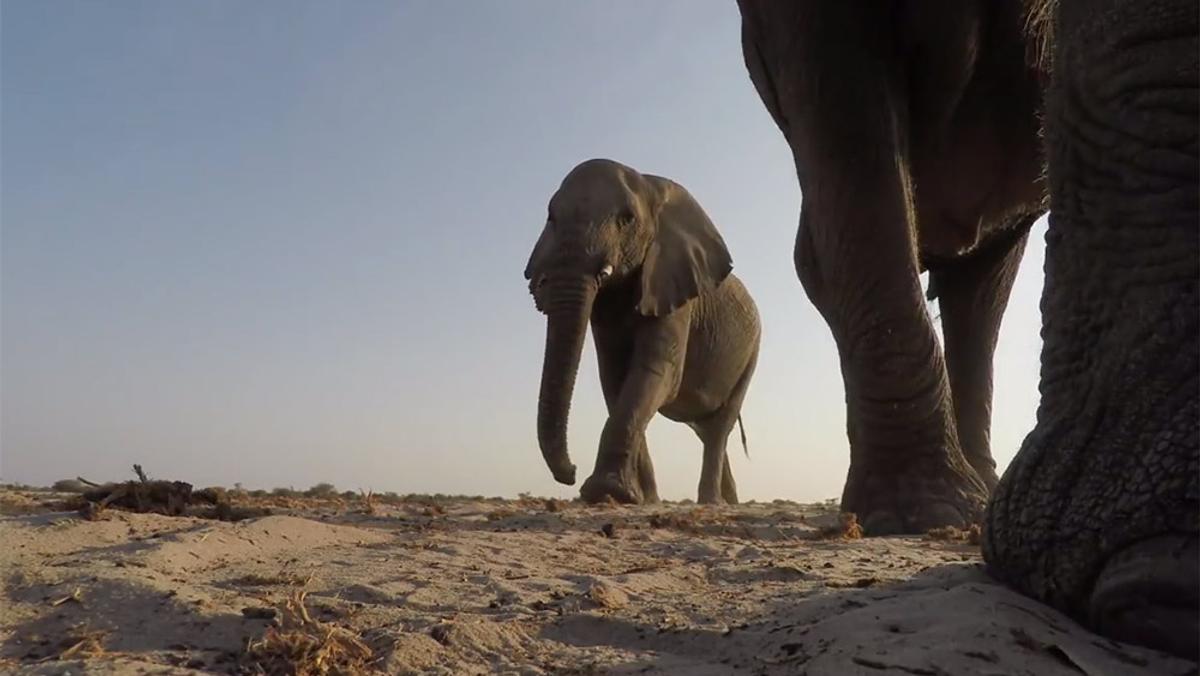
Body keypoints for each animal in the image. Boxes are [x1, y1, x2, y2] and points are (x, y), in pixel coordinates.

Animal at [525, 158, 761, 505]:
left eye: (627, 219)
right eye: (551, 217)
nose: (571, 472)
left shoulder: (675, 288)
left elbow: (656, 372)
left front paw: (607, 492)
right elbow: (615, 380)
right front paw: (640, 500)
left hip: (752, 354)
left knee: (720, 427)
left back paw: (712, 502)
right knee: (707, 431)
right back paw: (724, 502)